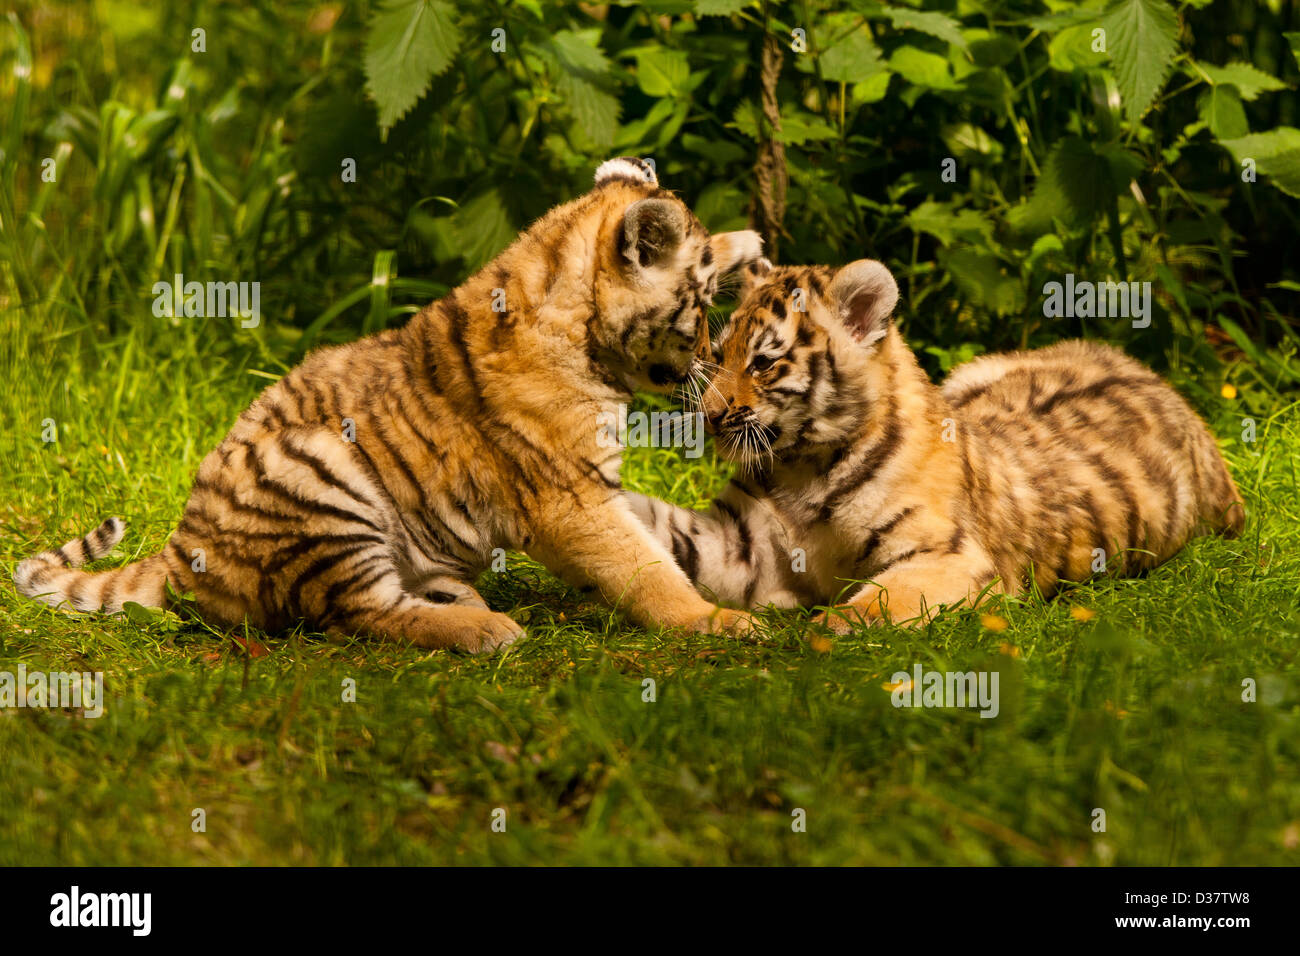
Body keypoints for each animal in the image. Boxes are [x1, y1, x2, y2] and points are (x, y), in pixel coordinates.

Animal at [14, 158, 765, 652]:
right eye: (699, 311)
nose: (711, 364)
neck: (582, 331)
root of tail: (180, 547)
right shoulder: (570, 496)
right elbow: (646, 569)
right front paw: (716, 622)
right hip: (320, 474)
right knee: (360, 614)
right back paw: (486, 627)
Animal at [627, 257, 1245, 631]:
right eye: (719, 353)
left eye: (763, 362)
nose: (707, 418)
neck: (803, 466)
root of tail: (1156, 378)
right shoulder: (739, 545)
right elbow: (664, 534)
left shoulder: (948, 558)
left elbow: (877, 601)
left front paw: (824, 629)